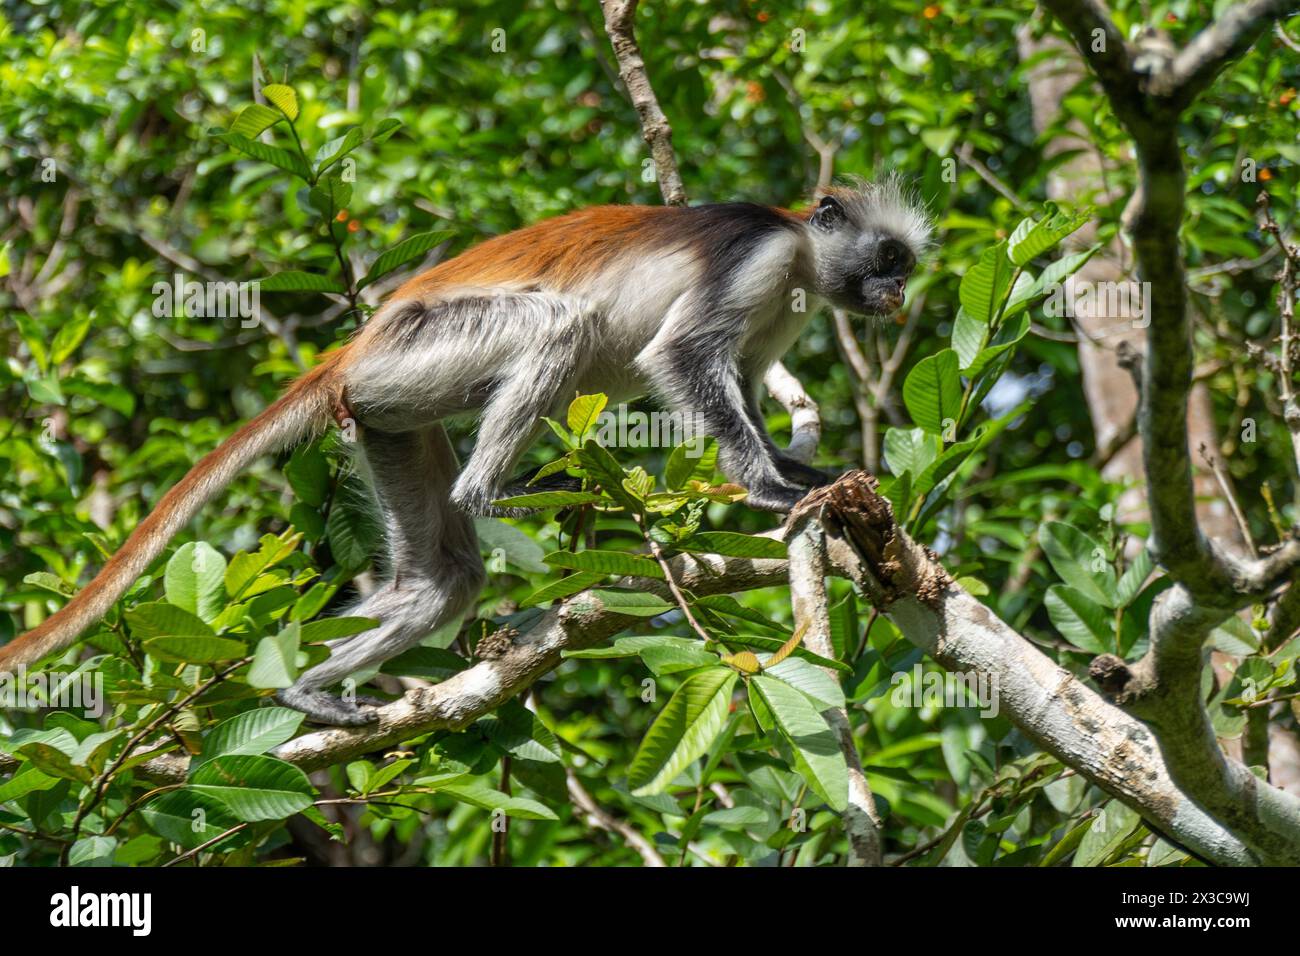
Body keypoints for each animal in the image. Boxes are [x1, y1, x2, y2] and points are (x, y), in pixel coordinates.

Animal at [2, 178, 935, 723]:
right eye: (887, 256)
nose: (895, 290)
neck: (803, 255)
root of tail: (354, 348)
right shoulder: (758, 255)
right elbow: (682, 358)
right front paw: (774, 496)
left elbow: (736, 386)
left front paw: (817, 478)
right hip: (420, 350)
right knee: (560, 326)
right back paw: (497, 497)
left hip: (388, 415)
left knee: (441, 577)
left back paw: (308, 684)